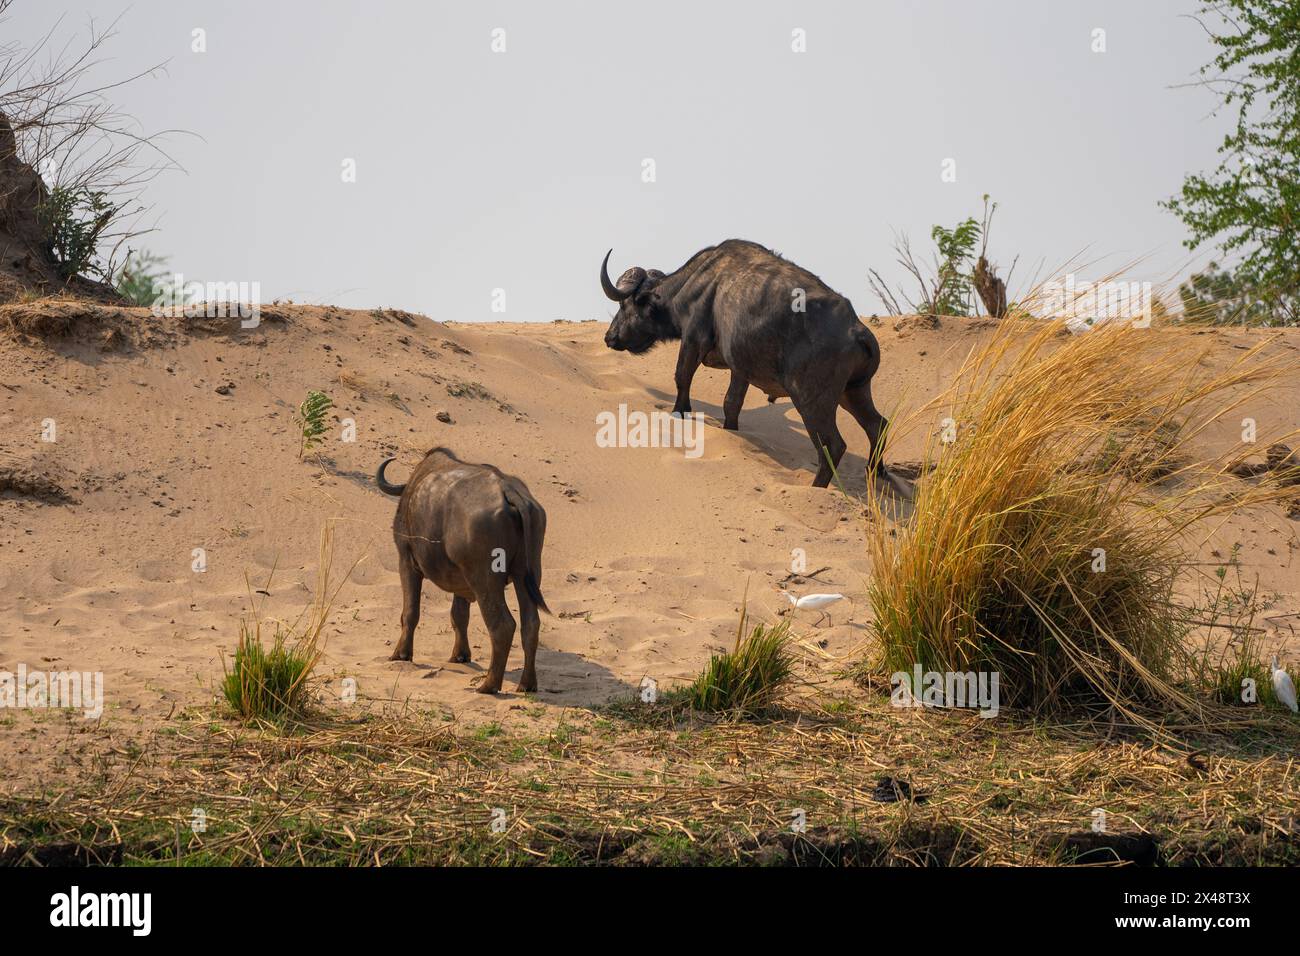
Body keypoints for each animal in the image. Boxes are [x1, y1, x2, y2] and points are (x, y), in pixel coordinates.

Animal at [377, 448, 549, 694]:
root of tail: (508, 490)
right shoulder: (461, 582)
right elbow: (459, 616)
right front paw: (460, 655)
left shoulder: (406, 561)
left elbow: (410, 612)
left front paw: (401, 654)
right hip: (526, 574)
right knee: (531, 624)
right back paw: (526, 684)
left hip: (484, 579)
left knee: (503, 625)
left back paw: (488, 685)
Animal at [601, 239, 888, 488]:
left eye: (625, 305)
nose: (609, 336)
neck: (697, 282)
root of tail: (856, 330)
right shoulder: (740, 369)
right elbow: (732, 403)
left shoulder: (693, 340)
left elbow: (682, 378)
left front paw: (679, 412)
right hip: (853, 392)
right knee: (878, 425)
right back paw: (877, 473)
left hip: (813, 402)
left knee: (833, 445)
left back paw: (817, 487)